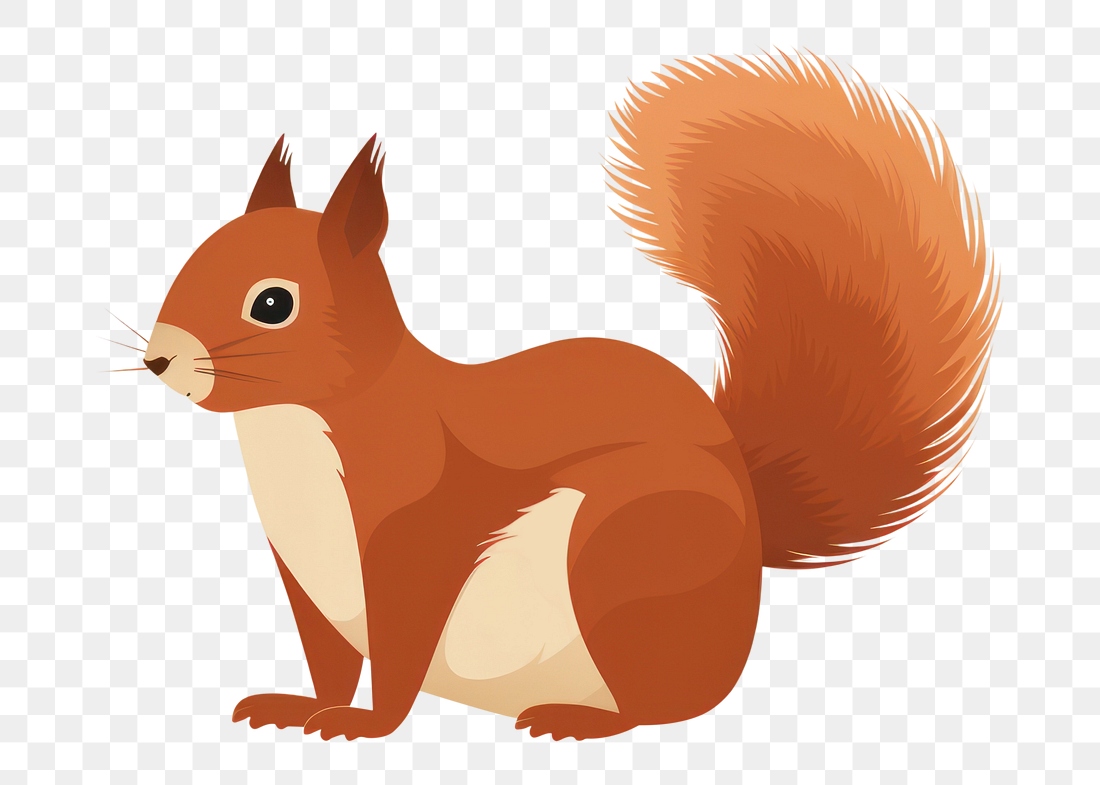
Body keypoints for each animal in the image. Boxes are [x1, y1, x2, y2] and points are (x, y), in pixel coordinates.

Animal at [138, 54, 998, 741]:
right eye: (193, 255)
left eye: (273, 303)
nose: (158, 358)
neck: (293, 434)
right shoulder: (306, 574)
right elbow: (329, 656)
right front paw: (300, 704)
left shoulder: (414, 530)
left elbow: (401, 645)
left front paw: (364, 723)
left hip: (624, 554)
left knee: (670, 704)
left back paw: (581, 720)